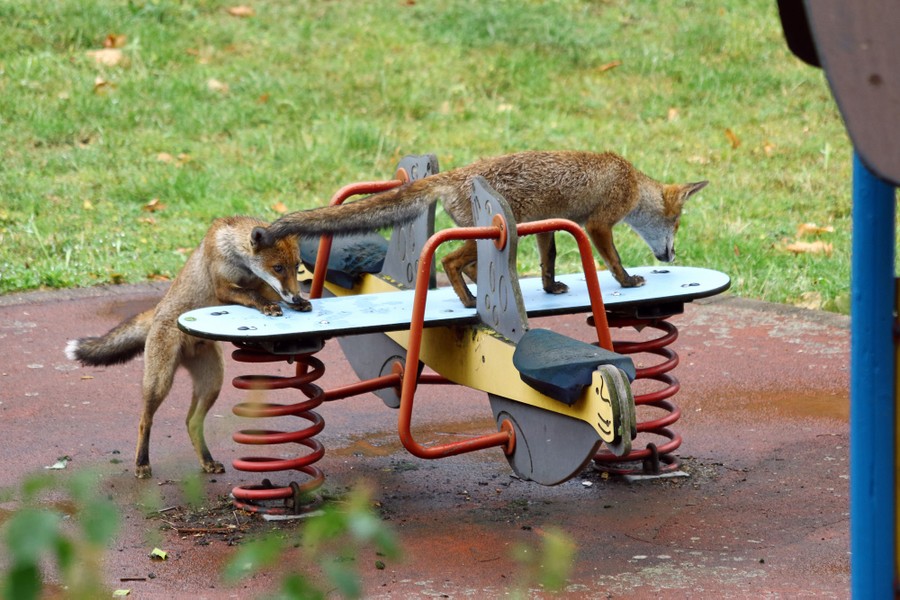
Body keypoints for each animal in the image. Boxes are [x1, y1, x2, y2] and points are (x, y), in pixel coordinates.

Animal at [65, 216, 309, 479]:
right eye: (278, 268)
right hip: (159, 383)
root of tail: (157, 312)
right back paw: (142, 463)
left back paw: (207, 461)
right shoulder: (224, 287)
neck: (234, 252)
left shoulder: (260, 283)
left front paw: (299, 302)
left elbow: (268, 292)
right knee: (144, 421)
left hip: (212, 383)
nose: (296, 297)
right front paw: (272, 305)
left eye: (297, 267)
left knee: (191, 422)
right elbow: (253, 295)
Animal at [254, 151, 708, 308]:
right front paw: (628, 281)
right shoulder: (598, 224)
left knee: (468, 265)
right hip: (489, 234)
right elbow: (611, 259)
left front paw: (550, 288)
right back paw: (469, 299)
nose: (672, 255)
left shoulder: (545, 227)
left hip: (503, 233)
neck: (630, 181)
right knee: (449, 261)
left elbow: (549, 261)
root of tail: (457, 173)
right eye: (678, 223)